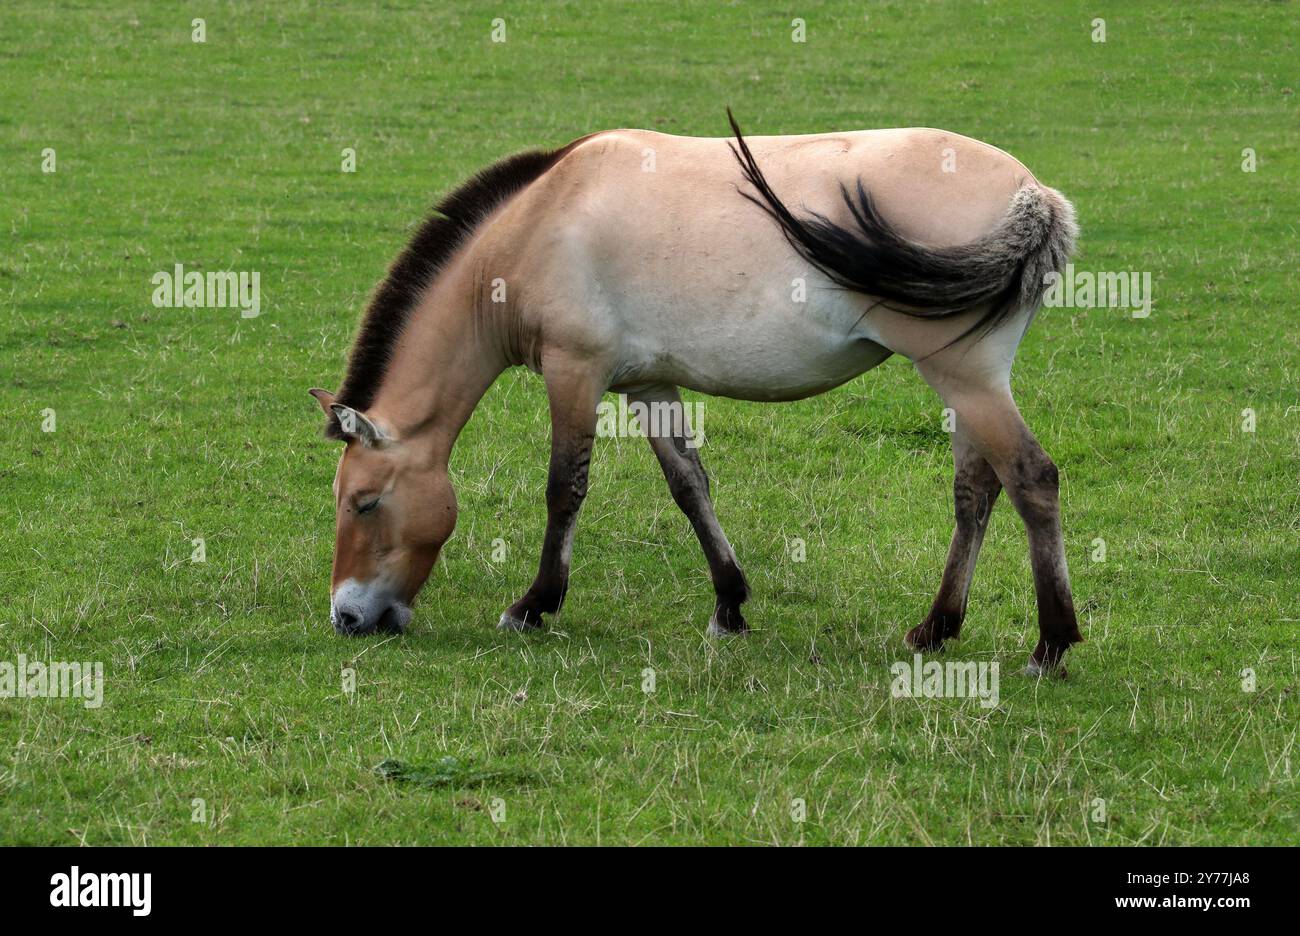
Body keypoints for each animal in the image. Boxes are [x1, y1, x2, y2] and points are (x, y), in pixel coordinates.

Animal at [308, 111, 1084, 675]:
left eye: (364, 503)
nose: (347, 618)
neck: (539, 221)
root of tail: (1035, 196)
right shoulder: (648, 384)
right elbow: (689, 486)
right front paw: (729, 606)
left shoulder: (574, 372)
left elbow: (565, 488)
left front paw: (533, 605)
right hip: (963, 383)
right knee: (976, 490)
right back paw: (937, 627)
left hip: (965, 376)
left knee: (1031, 478)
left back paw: (1050, 644)